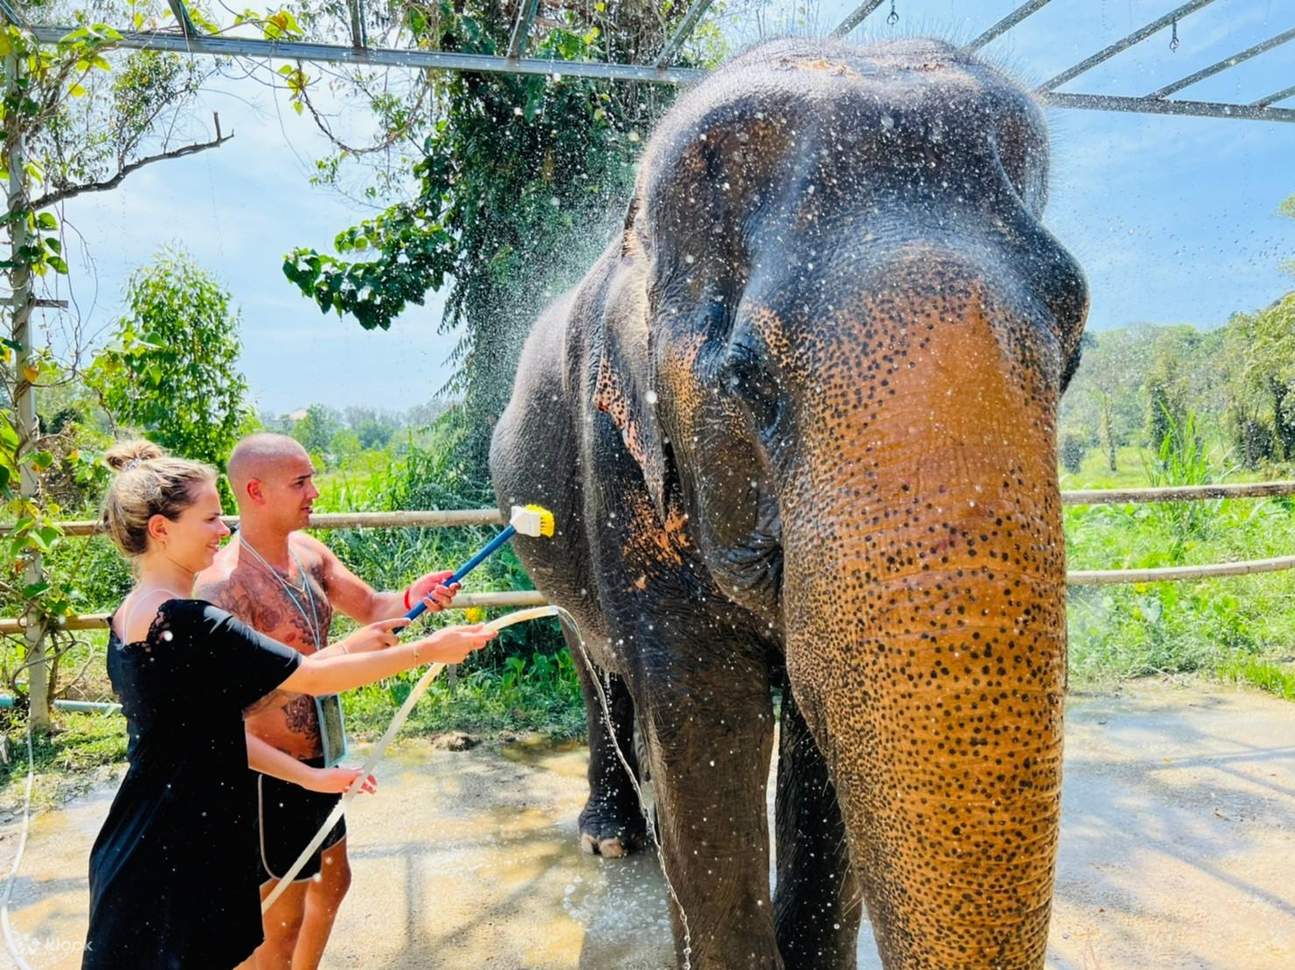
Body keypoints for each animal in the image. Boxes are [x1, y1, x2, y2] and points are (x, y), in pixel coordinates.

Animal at [490, 36, 1088, 970]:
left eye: (1072, 350)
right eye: (750, 382)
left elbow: (822, 735)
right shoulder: (618, 466)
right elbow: (704, 717)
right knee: (592, 659)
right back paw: (613, 838)